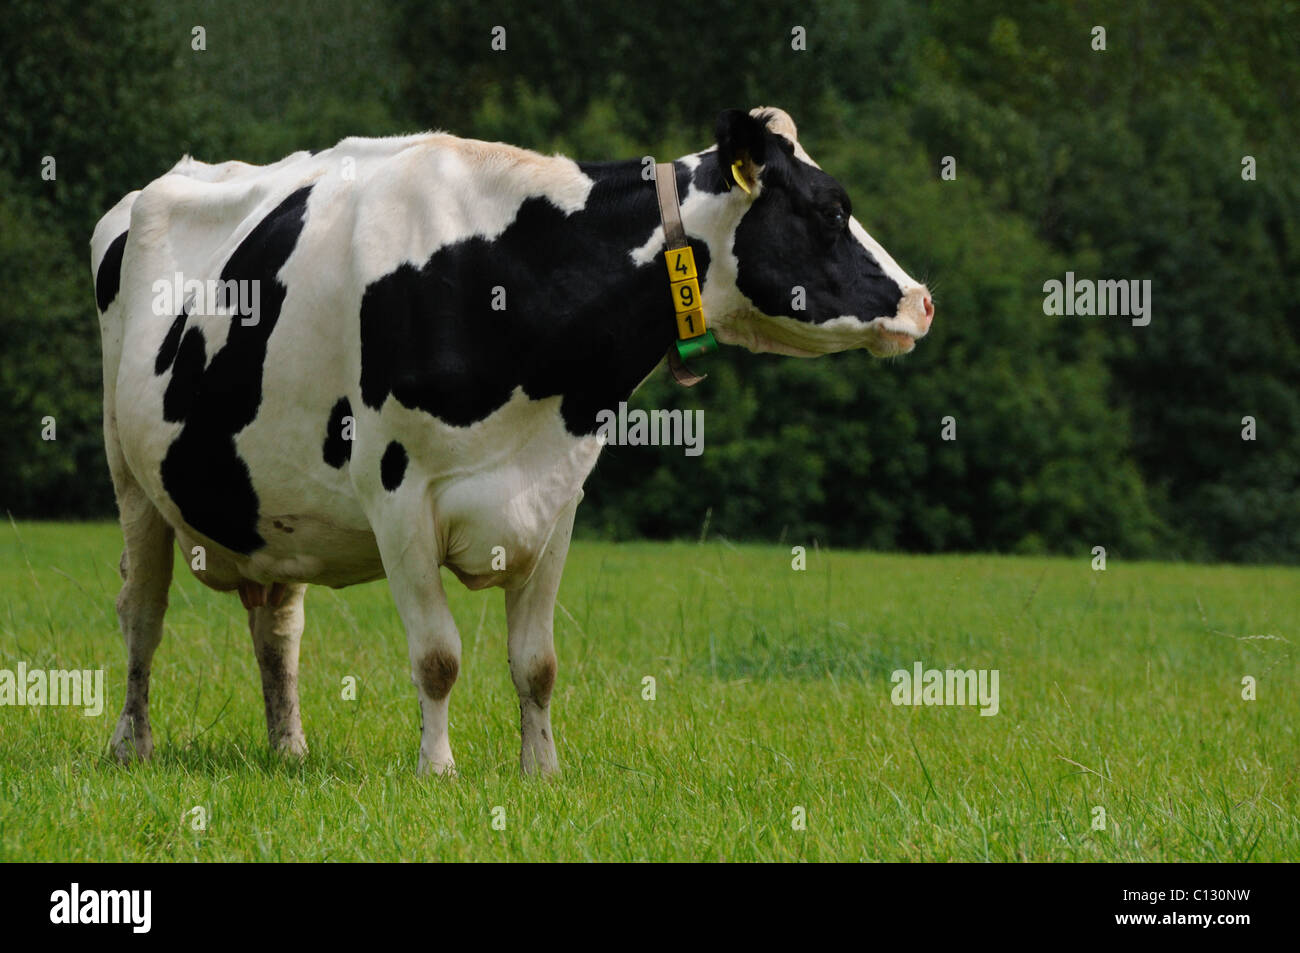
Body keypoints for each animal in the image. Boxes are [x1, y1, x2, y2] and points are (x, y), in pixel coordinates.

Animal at [90, 107, 933, 776]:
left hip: (275, 504)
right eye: (830, 209)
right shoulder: (396, 494)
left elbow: (538, 663)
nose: (922, 301)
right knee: (141, 614)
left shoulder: (556, 498)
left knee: (278, 628)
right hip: (129, 475)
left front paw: (542, 770)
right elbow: (437, 656)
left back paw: (288, 747)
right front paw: (438, 768)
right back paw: (133, 744)